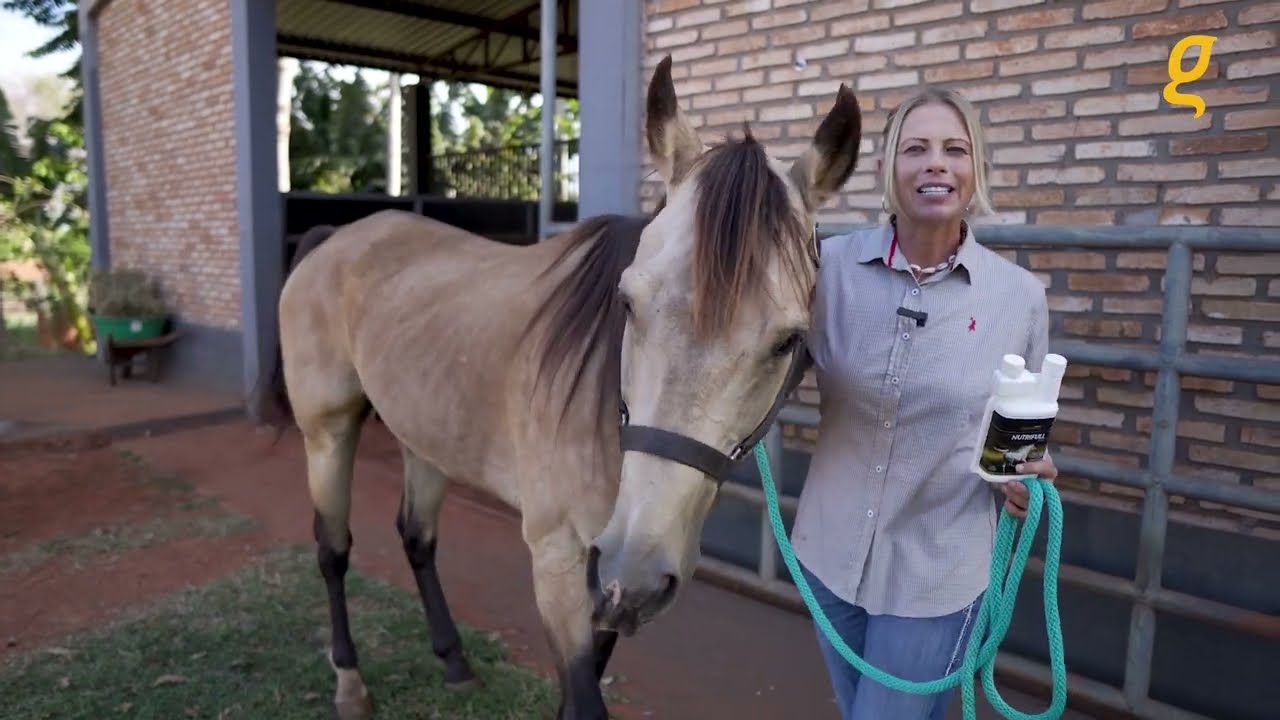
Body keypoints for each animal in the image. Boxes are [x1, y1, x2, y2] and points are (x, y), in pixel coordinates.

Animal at [263, 54, 863, 720]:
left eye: (788, 340)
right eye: (627, 303)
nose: (640, 566)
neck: (607, 423)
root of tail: (334, 239)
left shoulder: (608, 579)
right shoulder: (559, 558)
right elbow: (581, 695)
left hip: (426, 431)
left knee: (416, 538)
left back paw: (453, 660)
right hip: (328, 431)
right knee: (332, 548)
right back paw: (350, 681)